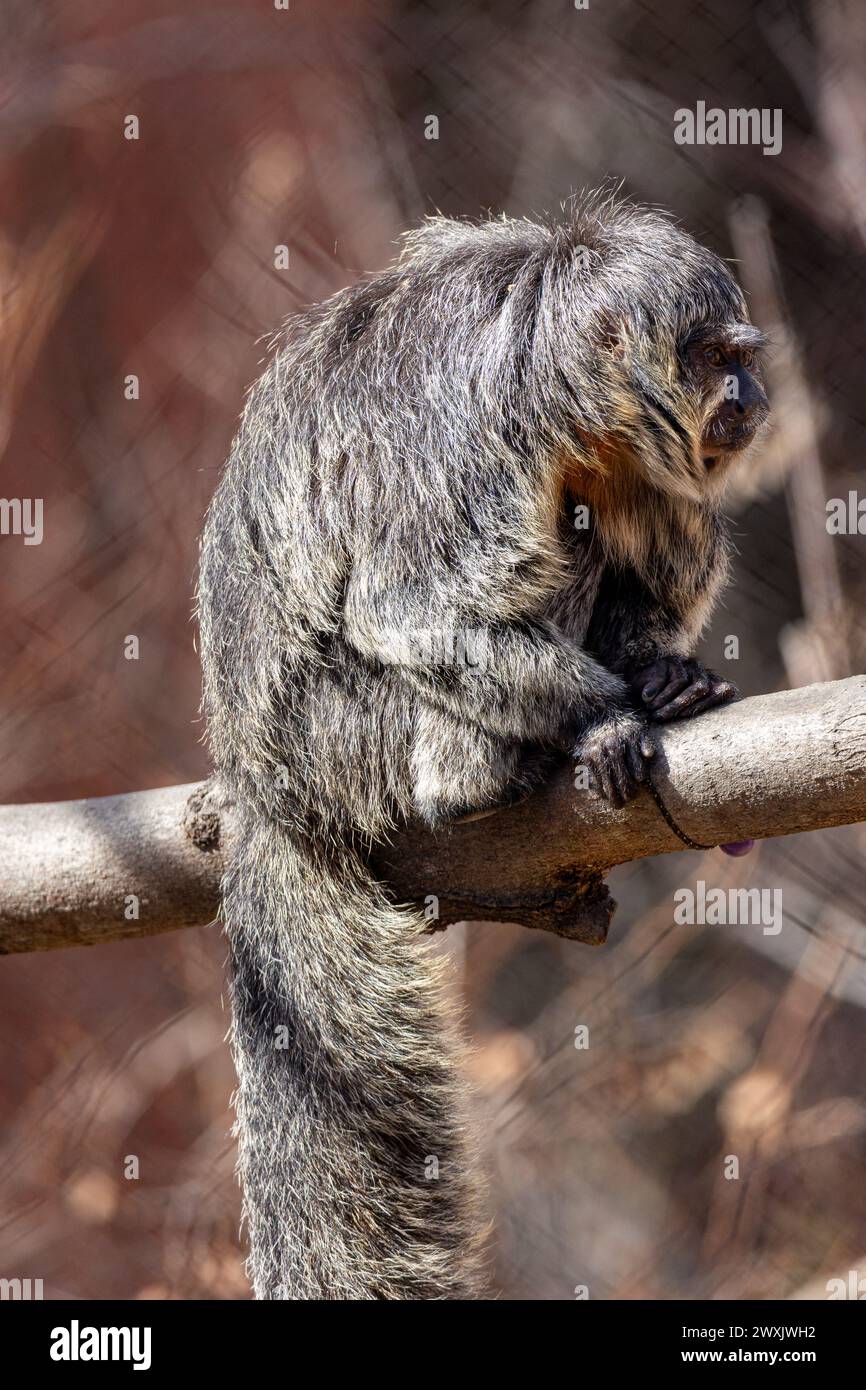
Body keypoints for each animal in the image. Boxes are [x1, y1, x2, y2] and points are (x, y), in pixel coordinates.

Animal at [196, 192, 769, 1300]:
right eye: (719, 358)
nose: (754, 393)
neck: (564, 415)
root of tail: (263, 778)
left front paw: (656, 678)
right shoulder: (464, 440)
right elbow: (410, 610)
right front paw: (606, 716)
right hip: (347, 733)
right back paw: (487, 771)